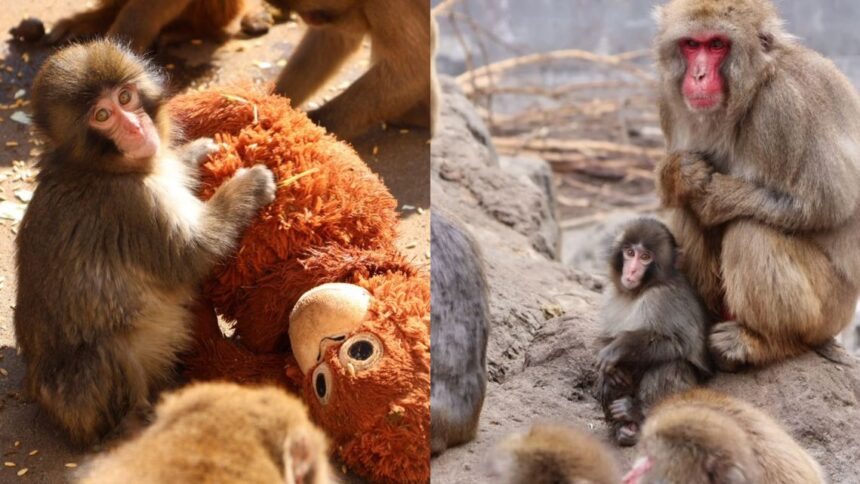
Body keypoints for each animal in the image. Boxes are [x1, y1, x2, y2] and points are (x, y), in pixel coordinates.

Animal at [15, 39, 276, 446]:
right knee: (107, 351)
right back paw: (134, 423)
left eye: (126, 97)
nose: (136, 127)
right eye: (102, 115)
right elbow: (191, 255)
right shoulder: (132, 205)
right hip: (80, 401)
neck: (100, 167)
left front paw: (193, 153)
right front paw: (248, 186)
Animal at [263, 0, 439, 139]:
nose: (309, 20)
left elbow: (413, 67)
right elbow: (335, 38)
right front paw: (273, 100)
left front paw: (310, 128)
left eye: (311, 14)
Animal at [596, 218, 712, 446]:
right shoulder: (610, 295)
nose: (631, 271)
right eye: (630, 253)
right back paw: (624, 428)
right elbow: (606, 338)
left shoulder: (663, 298)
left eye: (645, 257)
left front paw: (618, 350)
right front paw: (614, 370)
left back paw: (638, 415)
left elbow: (679, 341)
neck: (637, 292)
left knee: (670, 362)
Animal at [653, 0, 860, 371]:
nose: (698, 75)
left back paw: (766, 342)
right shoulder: (669, 101)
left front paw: (716, 198)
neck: (750, 90)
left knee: (751, 231)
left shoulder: (782, 106)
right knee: (685, 212)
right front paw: (682, 174)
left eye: (716, 45)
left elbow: (826, 204)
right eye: (691, 44)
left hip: (830, 310)